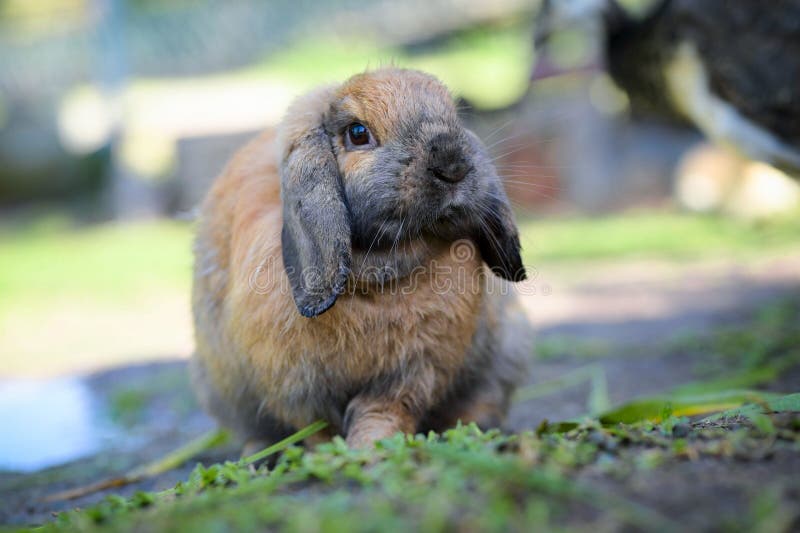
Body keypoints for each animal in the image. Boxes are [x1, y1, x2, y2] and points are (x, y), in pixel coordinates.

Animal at [191, 68, 534, 450]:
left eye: (454, 117)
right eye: (358, 133)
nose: (453, 165)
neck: (380, 272)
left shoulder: (411, 375)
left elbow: (382, 414)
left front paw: (372, 449)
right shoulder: (297, 388)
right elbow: (317, 429)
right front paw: (333, 455)